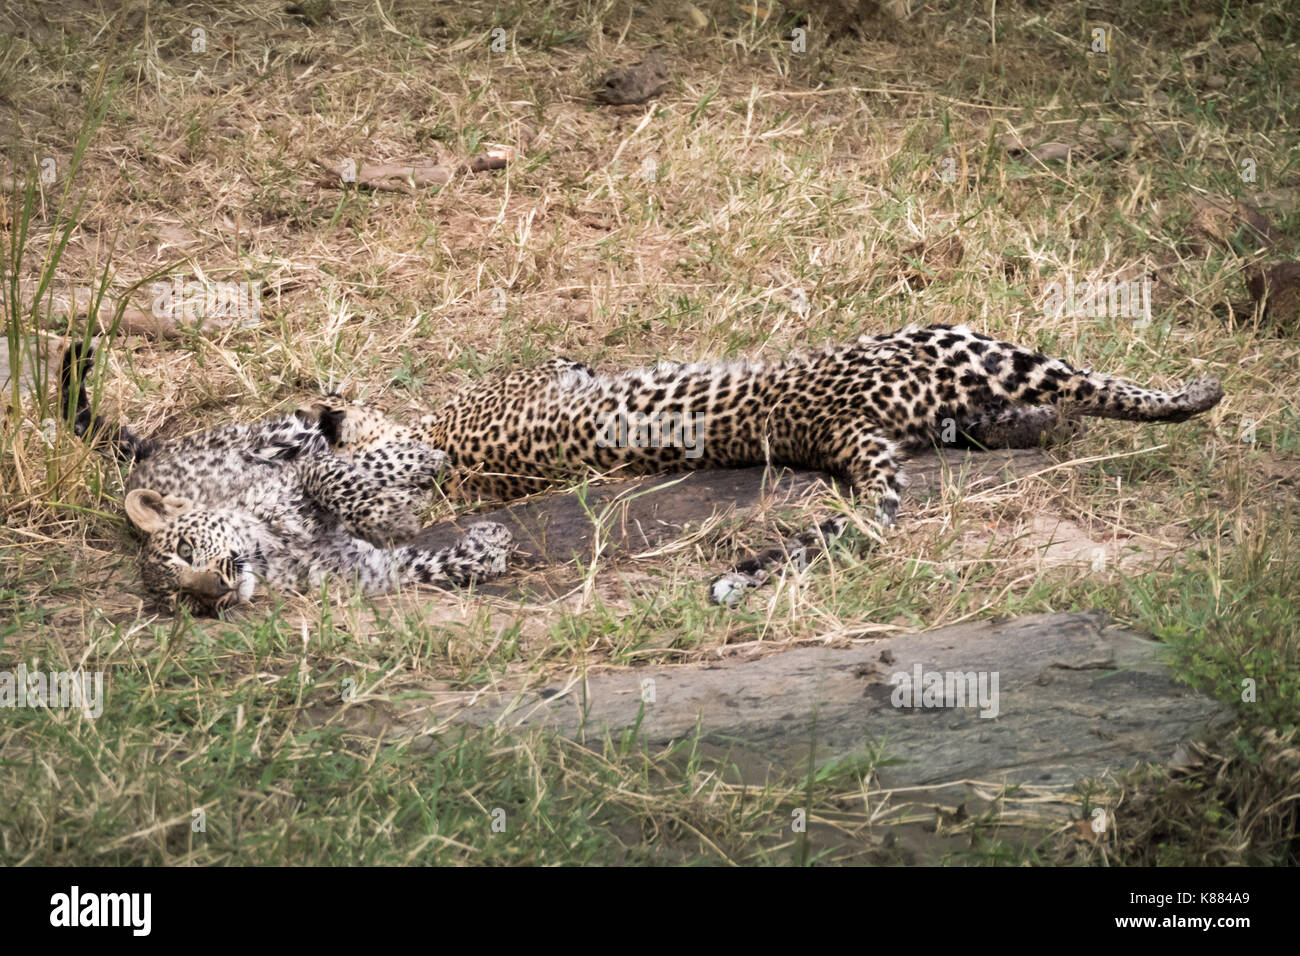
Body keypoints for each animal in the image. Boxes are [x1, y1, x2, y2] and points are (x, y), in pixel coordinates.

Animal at [61, 343, 512, 616]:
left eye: (185, 550)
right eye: (186, 601)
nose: (216, 591)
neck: (271, 554)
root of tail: (158, 452)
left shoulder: (298, 475)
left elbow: (333, 477)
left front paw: (388, 520)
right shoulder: (376, 571)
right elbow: (440, 565)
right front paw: (491, 544)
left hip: (280, 439)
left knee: (350, 451)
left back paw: (420, 462)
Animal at [314, 323, 1224, 604]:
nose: (330, 398)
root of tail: (842, 427)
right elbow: (557, 363)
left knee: (1014, 420)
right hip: (961, 342)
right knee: (1092, 385)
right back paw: (1197, 393)